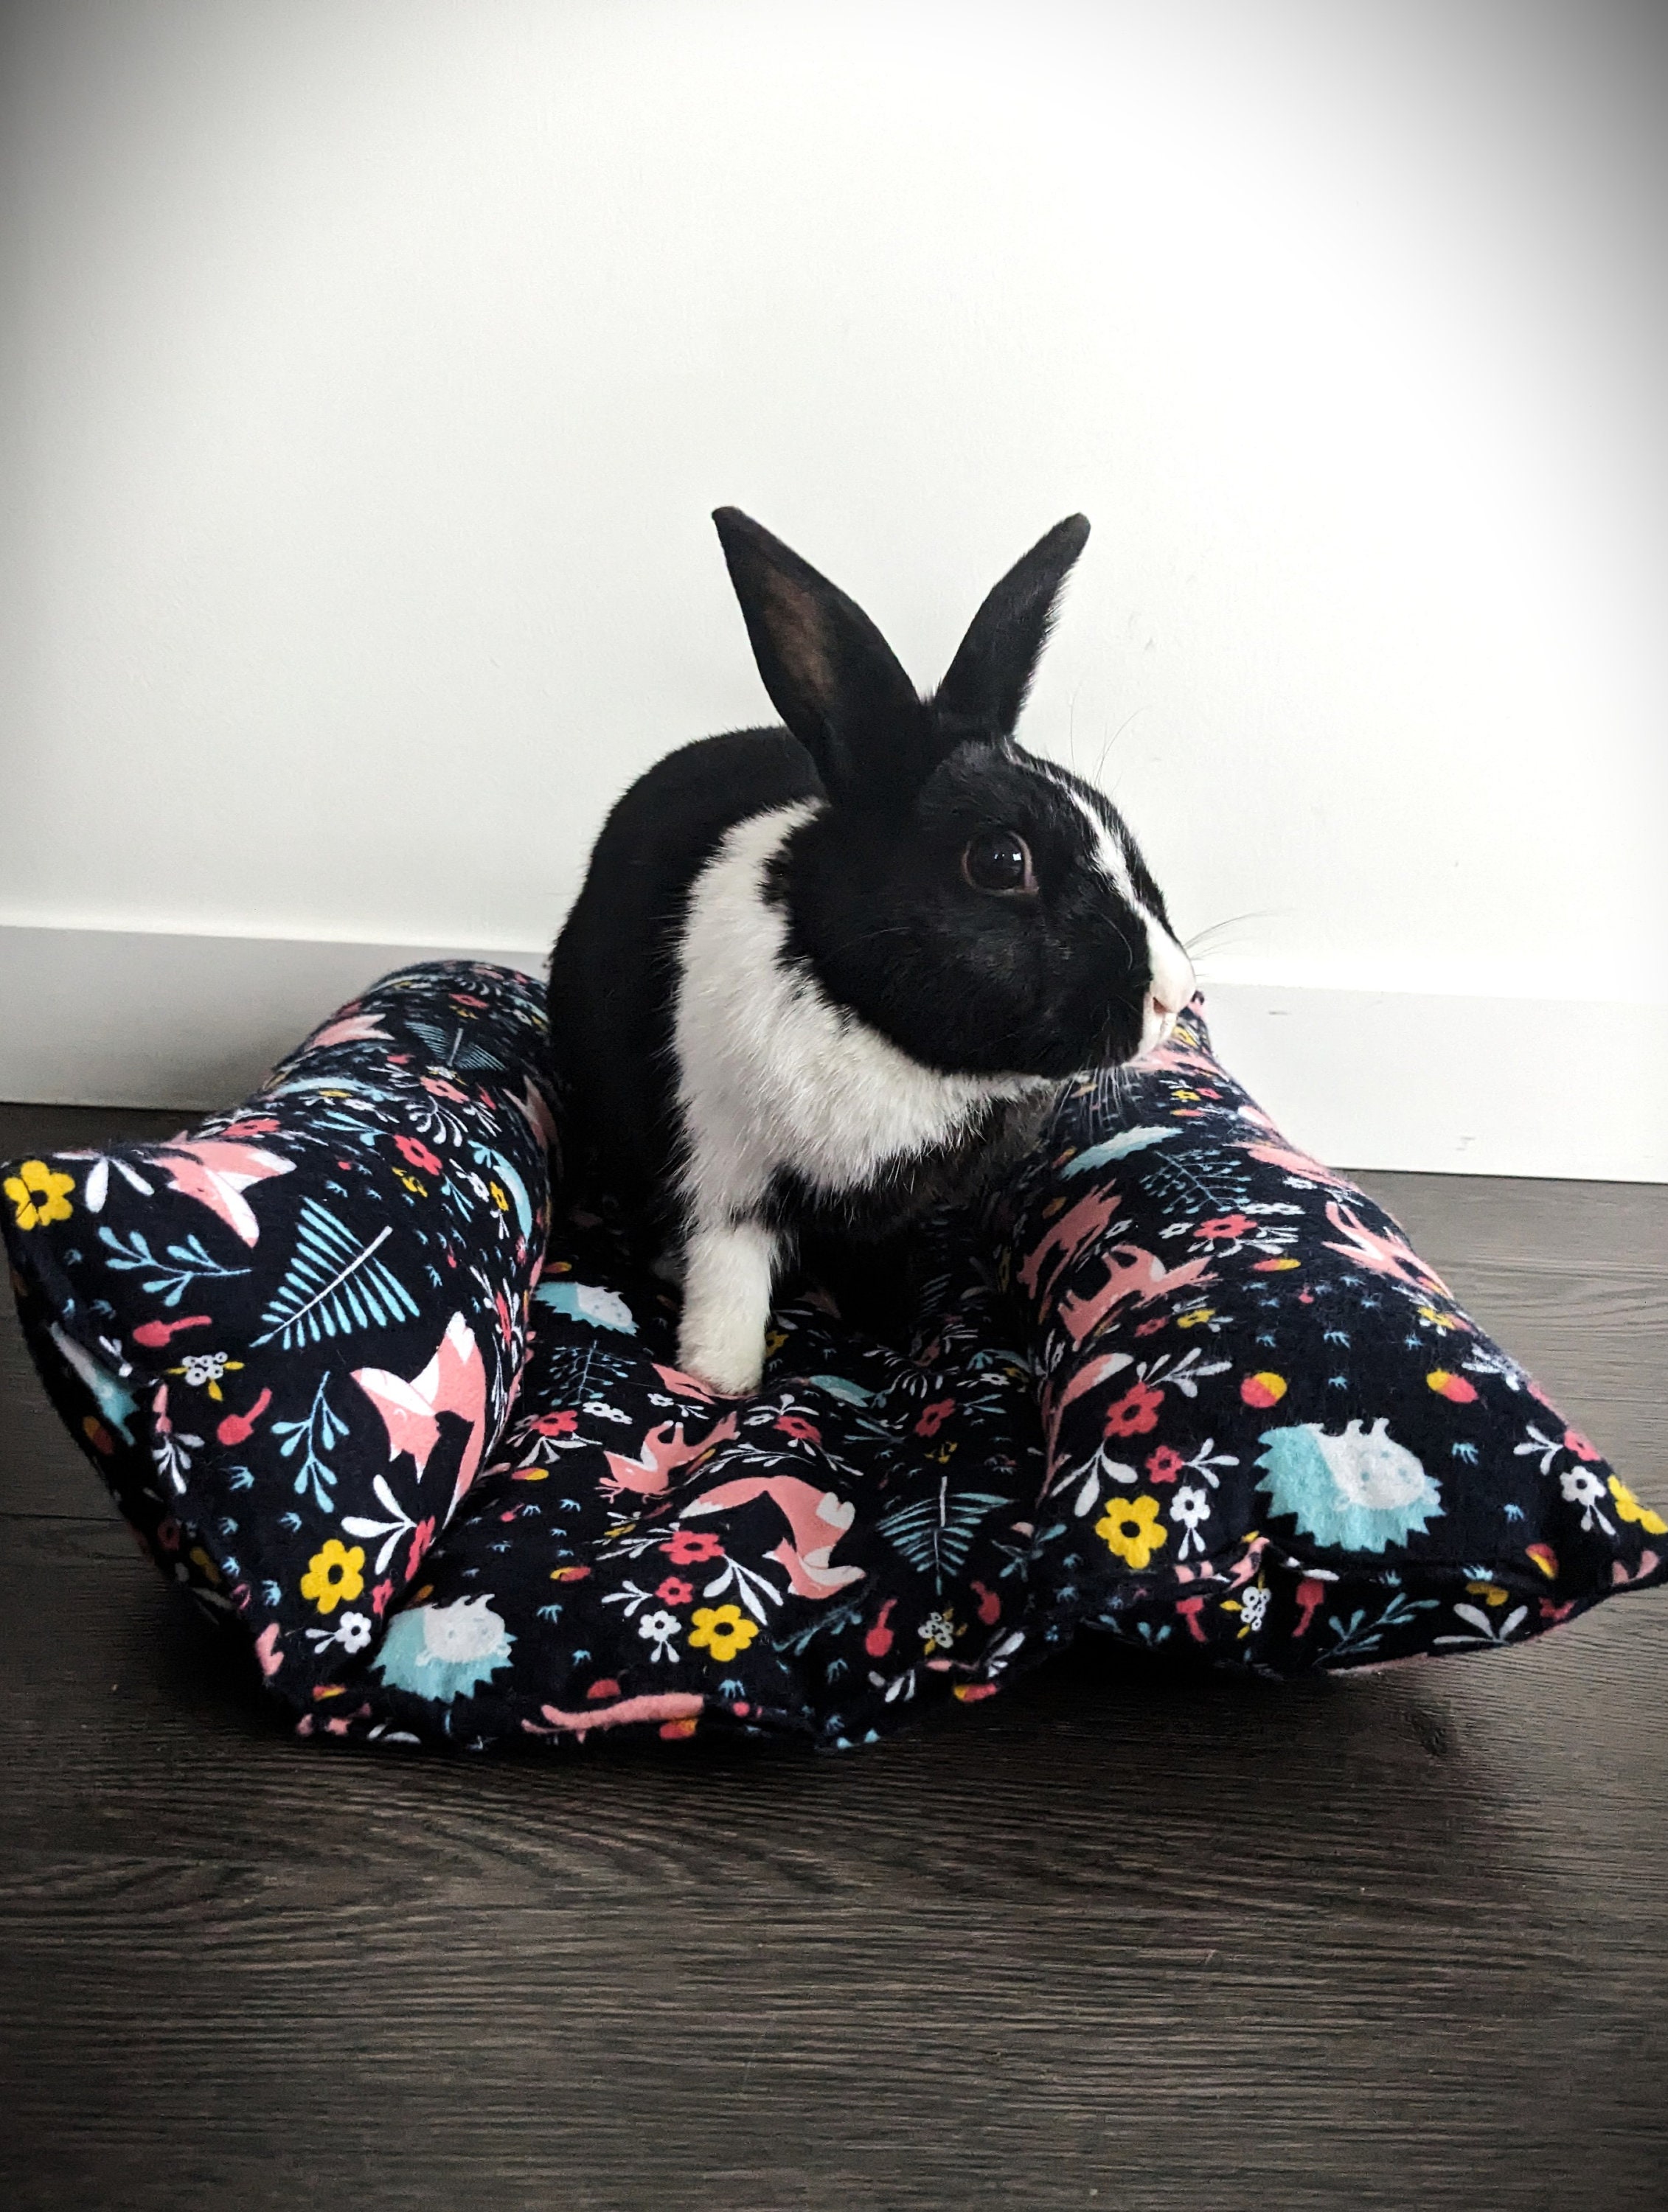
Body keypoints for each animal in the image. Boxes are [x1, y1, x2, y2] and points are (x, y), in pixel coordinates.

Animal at [547, 507, 1195, 1395]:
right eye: (1001, 861)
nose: (1175, 994)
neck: (882, 1031)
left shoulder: (900, 1213)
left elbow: (884, 1261)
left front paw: (897, 1332)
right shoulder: (723, 1169)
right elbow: (730, 1278)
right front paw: (721, 1380)